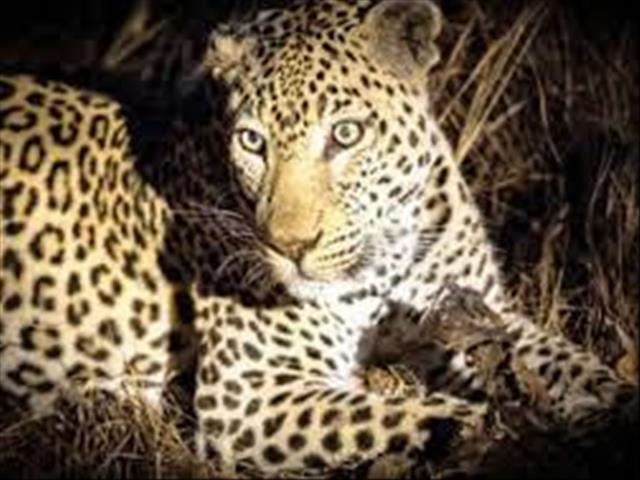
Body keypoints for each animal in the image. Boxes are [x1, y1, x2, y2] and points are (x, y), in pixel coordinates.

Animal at [0, 0, 636, 476]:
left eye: (347, 134)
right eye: (252, 142)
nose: (290, 247)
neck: (385, 254)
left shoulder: (481, 313)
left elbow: (569, 363)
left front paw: (610, 408)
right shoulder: (249, 393)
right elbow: (423, 415)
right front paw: (522, 441)